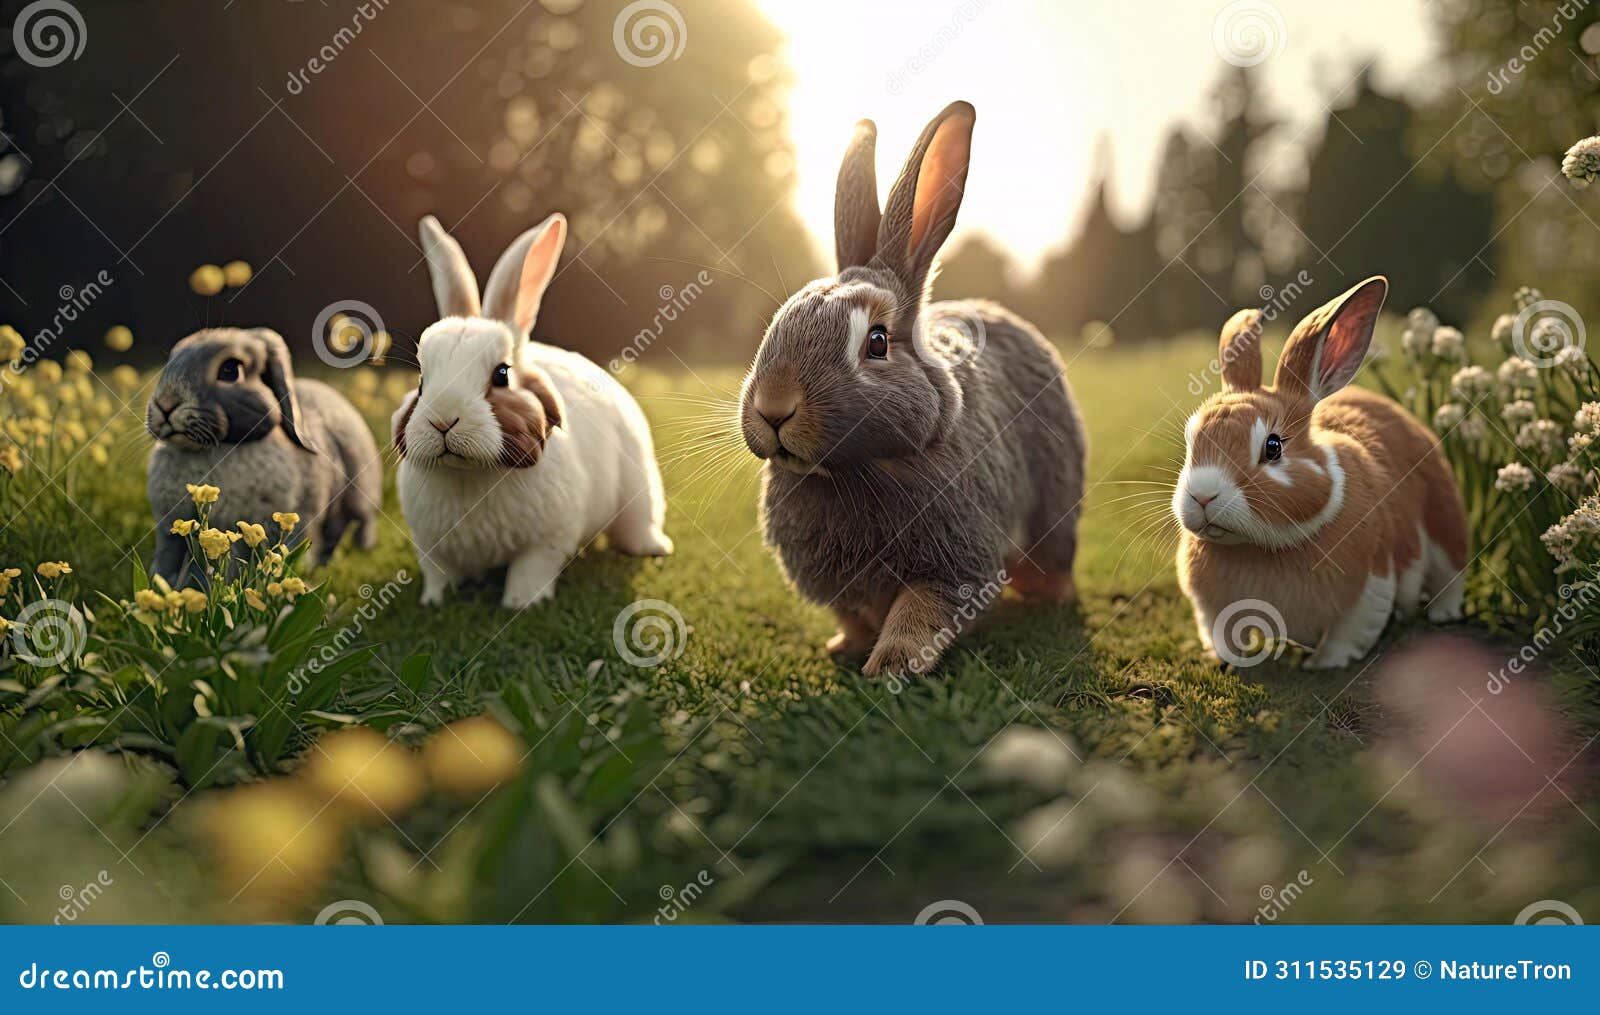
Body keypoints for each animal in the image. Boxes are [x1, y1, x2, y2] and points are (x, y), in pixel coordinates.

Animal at [146, 327, 382, 586]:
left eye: (230, 370)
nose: (165, 404)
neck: (219, 448)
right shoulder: (172, 531)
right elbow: (168, 561)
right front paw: (163, 587)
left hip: (359, 492)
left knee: (361, 522)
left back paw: (360, 552)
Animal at [394, 212, 673, 609]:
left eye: (501, 374)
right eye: (421, 381)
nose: (443, 420)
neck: (470, 473)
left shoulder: (546, 541)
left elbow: (530, 572)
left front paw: (520, 604)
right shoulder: (431, 548)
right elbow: (439, 576)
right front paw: (435, 601)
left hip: (638, 486)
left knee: (639, 524)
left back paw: (655, 548)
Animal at [738, 101, 1088, 678]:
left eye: (877, 342)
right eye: (779, 321)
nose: (773, 408)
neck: (852, 471)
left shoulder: (951, 565)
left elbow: (919, 612)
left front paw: (891, 665)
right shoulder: (841, 589)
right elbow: (854, 615)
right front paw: (845, 647)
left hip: (1058, 503)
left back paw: (1050, 596)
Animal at [1172, 276, 1469, 670]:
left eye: (1273, 447)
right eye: (1191, 440)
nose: (1203, 495)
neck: (1257, 546)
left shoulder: (1370, 586)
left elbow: (1346, 633)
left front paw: (1323, 665)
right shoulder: (1210, 607)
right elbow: (1221, 635)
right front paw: (1228, 662)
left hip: (1444, 521)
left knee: (1450, 576)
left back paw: (1443, 615)